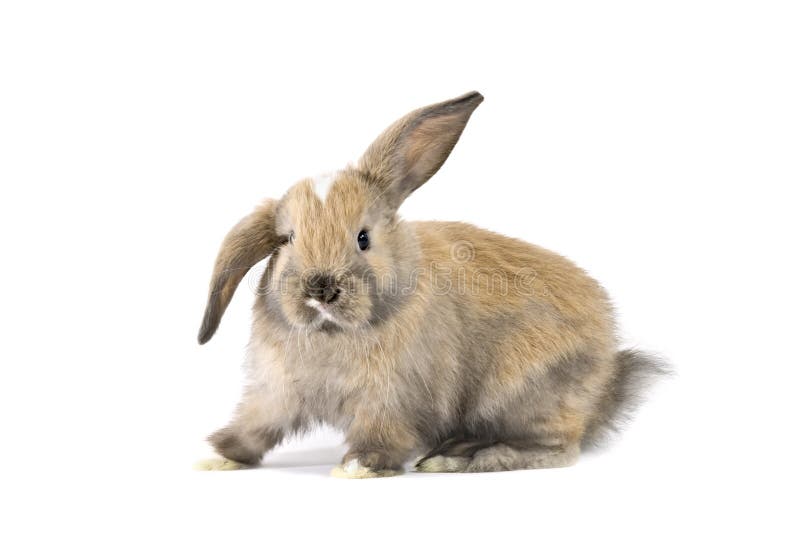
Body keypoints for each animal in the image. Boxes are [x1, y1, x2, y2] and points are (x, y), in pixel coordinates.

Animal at [195, 91, 665, 477]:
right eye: (288, 238)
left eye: (363, 238)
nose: (320, 289)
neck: (331, 334)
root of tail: (608, 373)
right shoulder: (276, 393)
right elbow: (255, 427)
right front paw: (215, 456)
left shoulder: (391, 399)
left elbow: (382, 435)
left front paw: (358, 467)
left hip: (524, 396)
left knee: (556, 449)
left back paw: (456, 457)